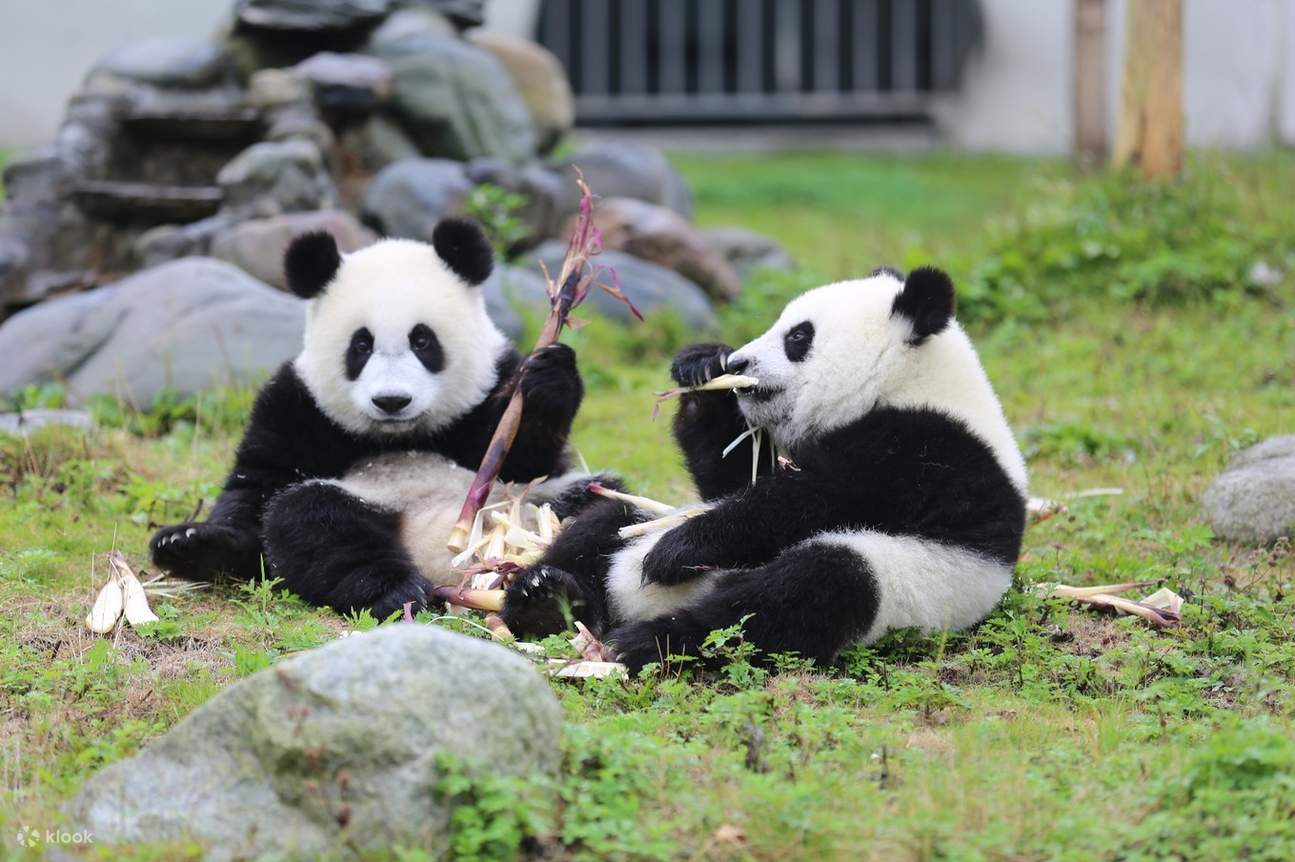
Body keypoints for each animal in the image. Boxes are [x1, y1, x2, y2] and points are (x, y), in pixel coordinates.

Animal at [150, 218, 592, 619]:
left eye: (422, 340)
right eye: (361, 345)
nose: (392, 401)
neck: (400, 437)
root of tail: (451, 566)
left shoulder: (493, 385)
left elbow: (528, 459)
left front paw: (548, 378)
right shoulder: (296, 406)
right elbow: (260, 485)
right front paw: (191, 543)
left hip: (542, 503)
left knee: (595, 514)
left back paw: (544, 592)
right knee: (312, 518)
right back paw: (399, 591)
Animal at [499, 266, 1028, 672]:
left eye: (798, 337)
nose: (739, 362)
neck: (909, 382)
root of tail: (632, 602)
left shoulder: (925, 450)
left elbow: (812, 500)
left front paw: (676, 551)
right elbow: (734, 478)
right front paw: (701, 367)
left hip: (904, 578)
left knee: (799, 594)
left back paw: (648, 639)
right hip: (646, 515)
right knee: (603, 525)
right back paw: (546, 597)